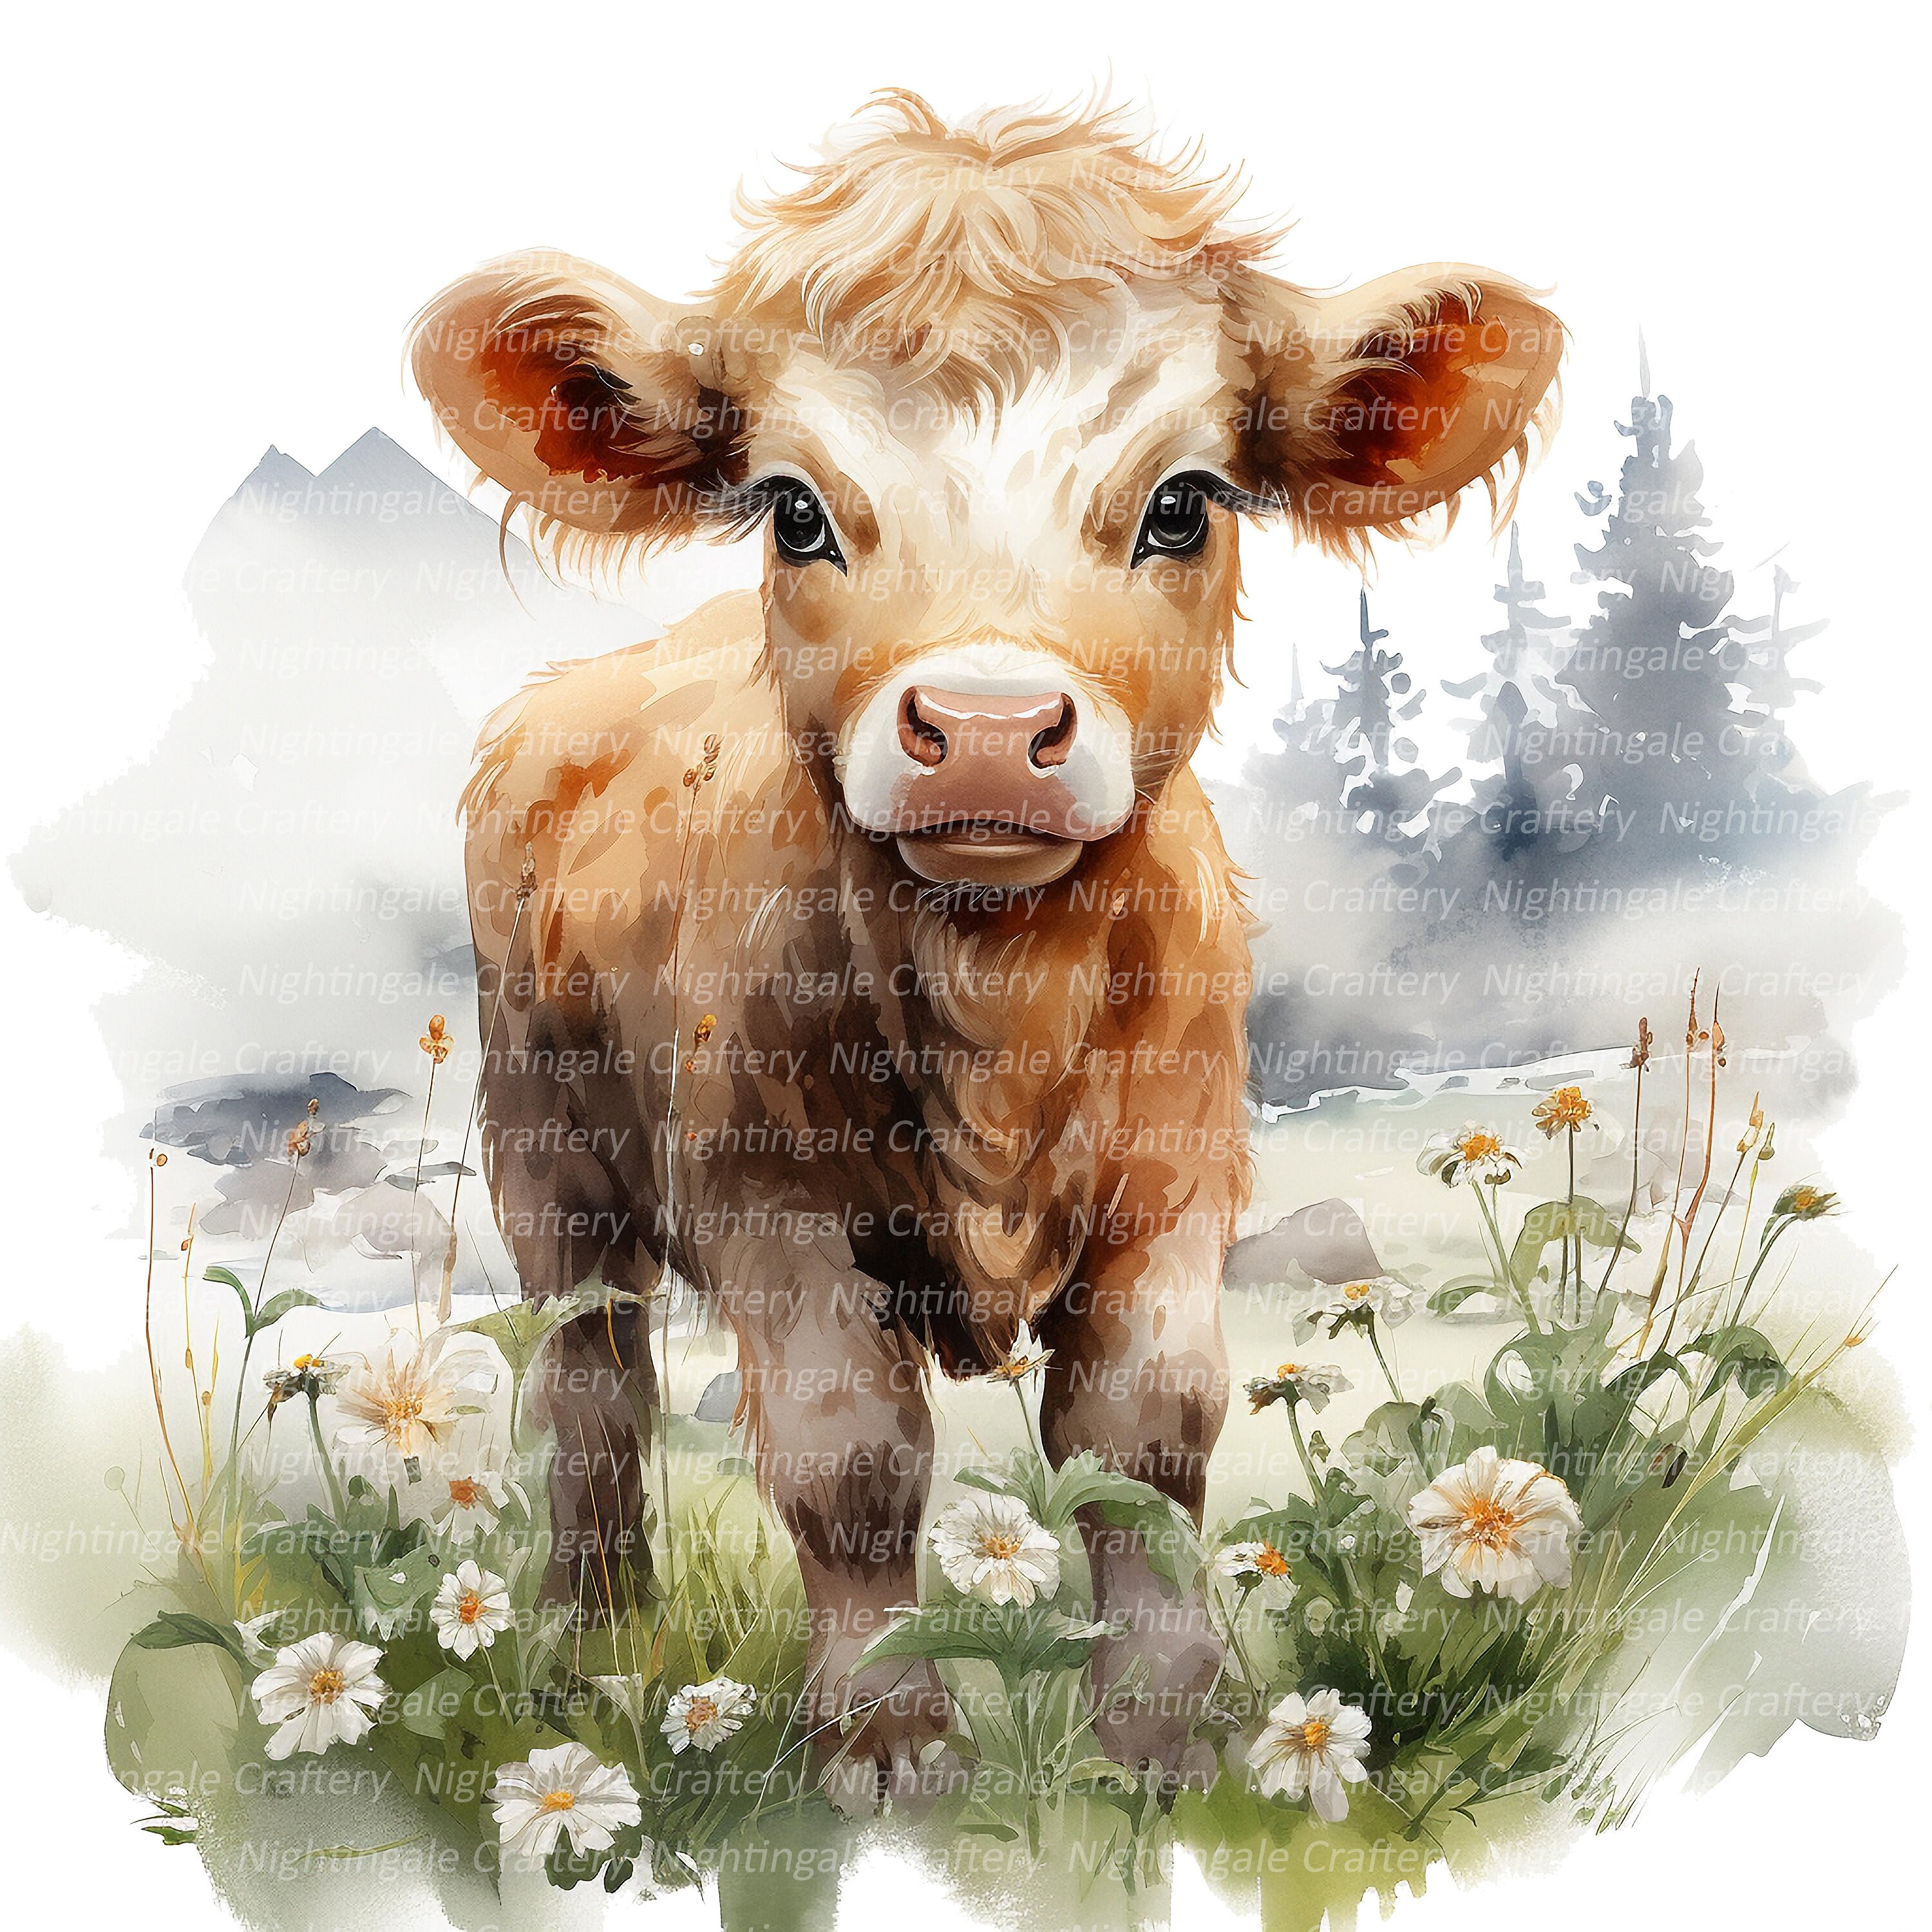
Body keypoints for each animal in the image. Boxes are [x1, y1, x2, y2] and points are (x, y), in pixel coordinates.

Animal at [409, 90, 1562, 1803]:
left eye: (1182, 501)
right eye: (796, 508)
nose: (990, 728)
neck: (995, 1013)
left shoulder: (1174, 1182)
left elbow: (1142, 1440)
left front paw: (1163, 1736)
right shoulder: (767, 1204)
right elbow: (849, 1461)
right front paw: (885, 1741)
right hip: (544, 1152)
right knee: (592, 1387)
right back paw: (589, 1641)